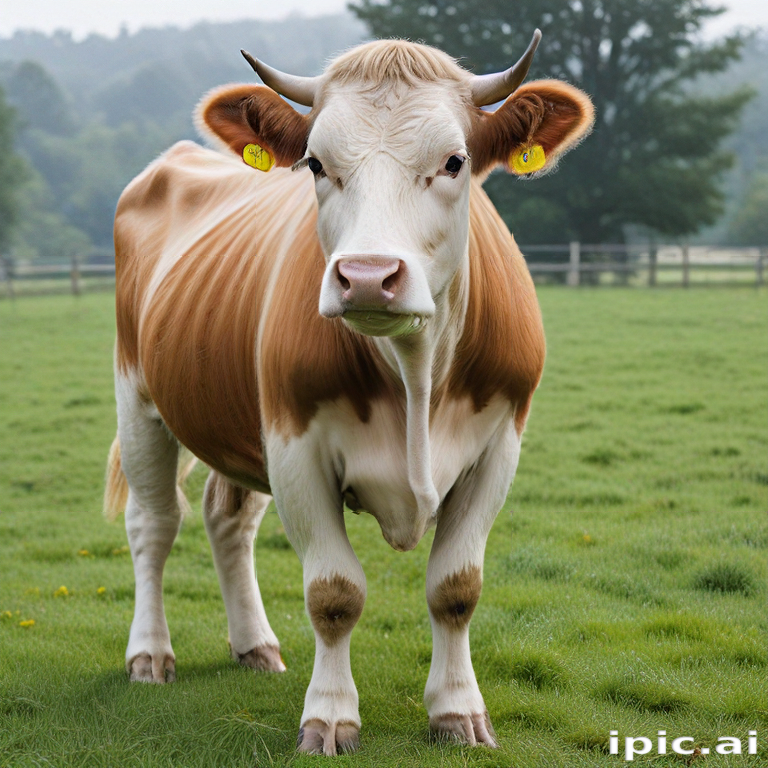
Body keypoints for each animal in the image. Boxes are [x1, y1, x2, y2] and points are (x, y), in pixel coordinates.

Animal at [103, 31, 593, 755]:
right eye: (314, 162)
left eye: (455, 161)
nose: (366, 276)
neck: (416, 372)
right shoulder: (295, 445)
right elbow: (334, 594)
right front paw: (330, 716)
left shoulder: (499, 445)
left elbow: (456, 588)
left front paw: (457, 711)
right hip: (138, 397)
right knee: (155, 525)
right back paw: (149, 654)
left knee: (227, 519)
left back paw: (254, 645)